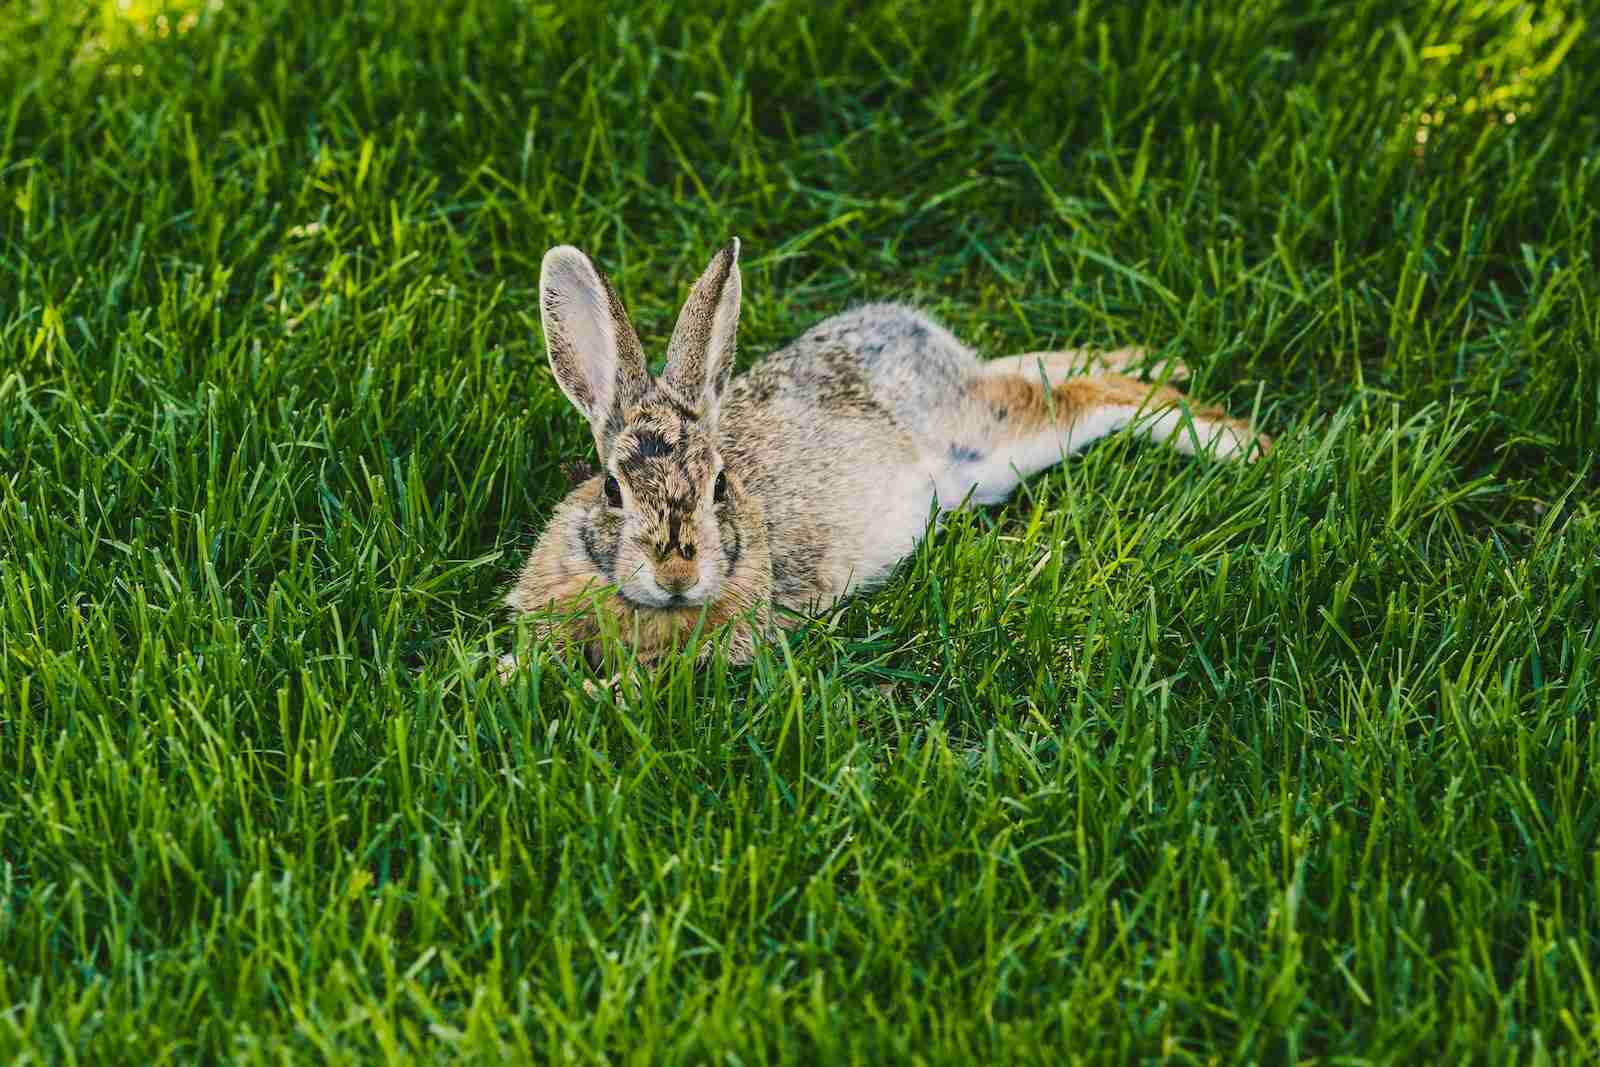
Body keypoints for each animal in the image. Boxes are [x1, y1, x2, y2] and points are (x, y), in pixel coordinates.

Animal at [502, 238, 1269, 671]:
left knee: (1091, 394)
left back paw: (1243, 443)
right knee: (1046, 372)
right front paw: (512, 674)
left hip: (987, 437)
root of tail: (909, 329)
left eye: (718, 485)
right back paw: (1161, 359)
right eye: (612, 489)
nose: (676, 575)